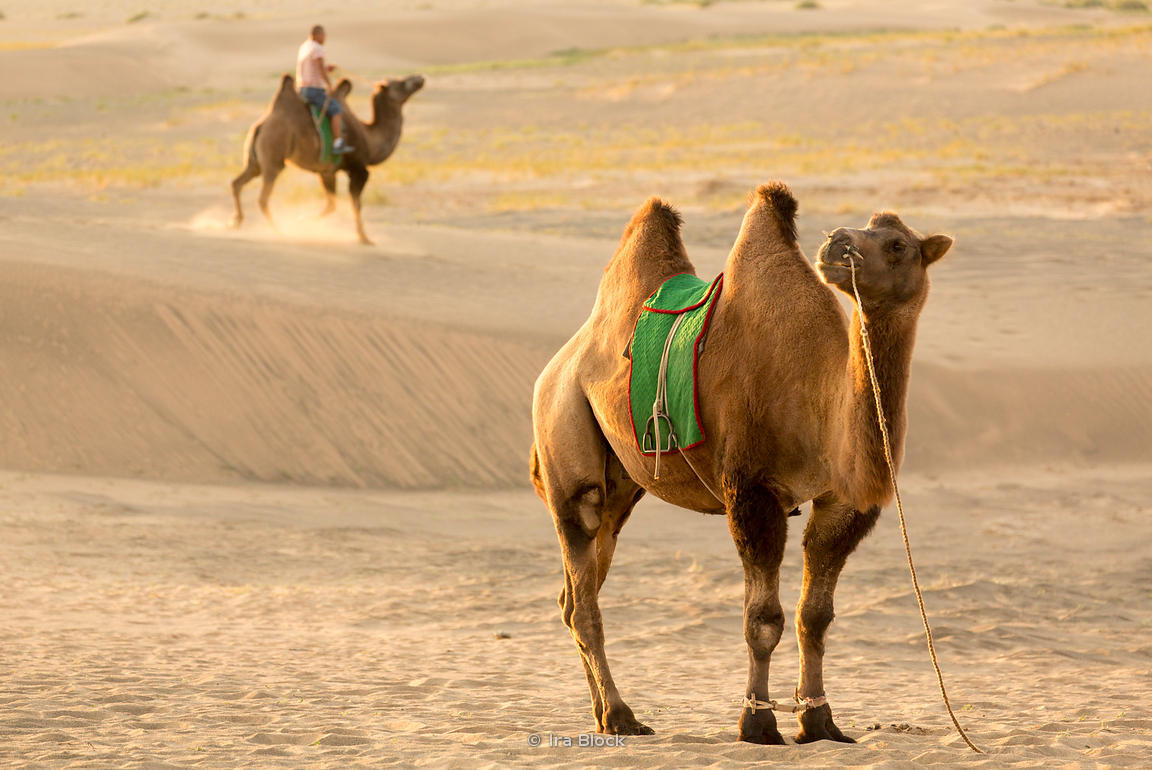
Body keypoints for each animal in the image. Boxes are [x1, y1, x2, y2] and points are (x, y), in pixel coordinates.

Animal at [230, 73, 424, 245]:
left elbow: (332, 204)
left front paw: (303, 222)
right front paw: (365, 239)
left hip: (255, 162)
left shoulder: (327, 171)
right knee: (263, 197)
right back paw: (278, 231)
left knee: (237, 183)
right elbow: (355, 205)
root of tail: (261, 125)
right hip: (273, 156)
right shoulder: (359, 169)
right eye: (401, 83)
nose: (420, 78)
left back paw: (236, 221)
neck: (370, 139)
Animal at [529, 182, 952, 743]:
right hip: (565, 429)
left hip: (620, 483)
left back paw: (604, 713)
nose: (837, 243)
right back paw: (620, 715)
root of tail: (555, 366)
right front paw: (757, 723)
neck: (820, 397)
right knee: (583, 569)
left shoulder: (841, 501)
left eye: (899, 244)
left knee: (576, 595)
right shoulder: (753, 490)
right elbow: (764, 619)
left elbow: (815, 616)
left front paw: (820, 721)